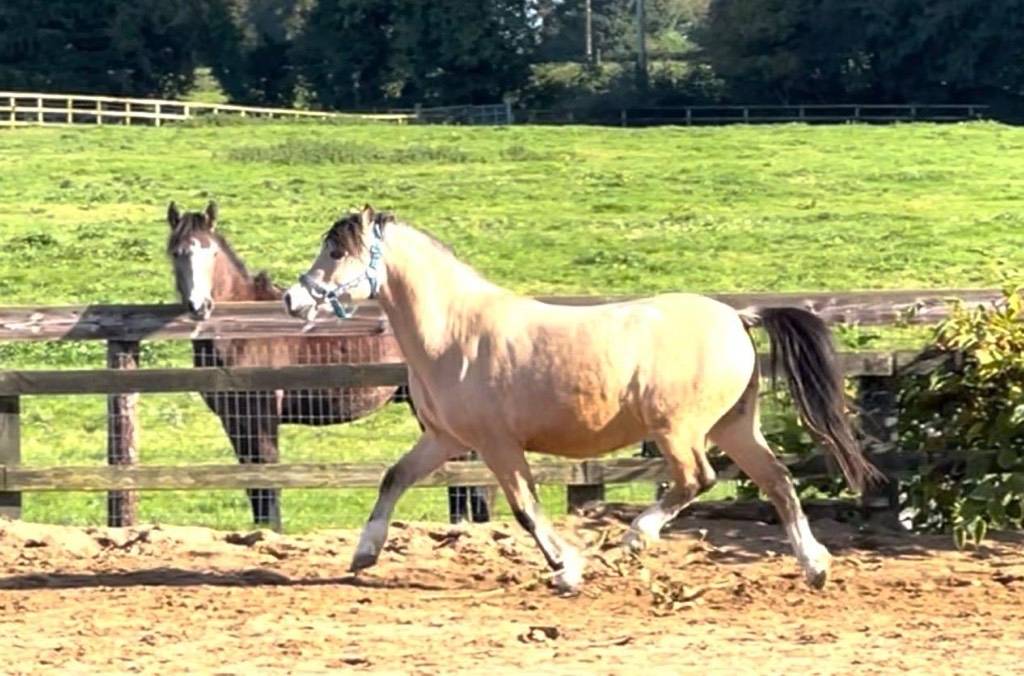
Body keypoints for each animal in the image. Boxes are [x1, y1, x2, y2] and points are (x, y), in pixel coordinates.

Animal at [166, 201, 407, 527]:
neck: (243, 329)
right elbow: (251, 482)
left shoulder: (262, 415)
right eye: (176, 253)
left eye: (211, 252)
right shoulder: (234, 419)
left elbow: (268, 479)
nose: (199, 306)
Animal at [282, 206, 879, 592]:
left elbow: (525, 510)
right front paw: (363, 554)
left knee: (698, 479)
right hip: (735, 425)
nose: (292, 300)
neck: (456, 333)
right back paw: (815, 567)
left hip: (680, 430)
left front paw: (567, 571)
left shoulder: (496, 444)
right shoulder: (445, 439)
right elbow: (394, 478)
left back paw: (635, 538)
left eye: (335, 250)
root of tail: (737, 316)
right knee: (778, 482)